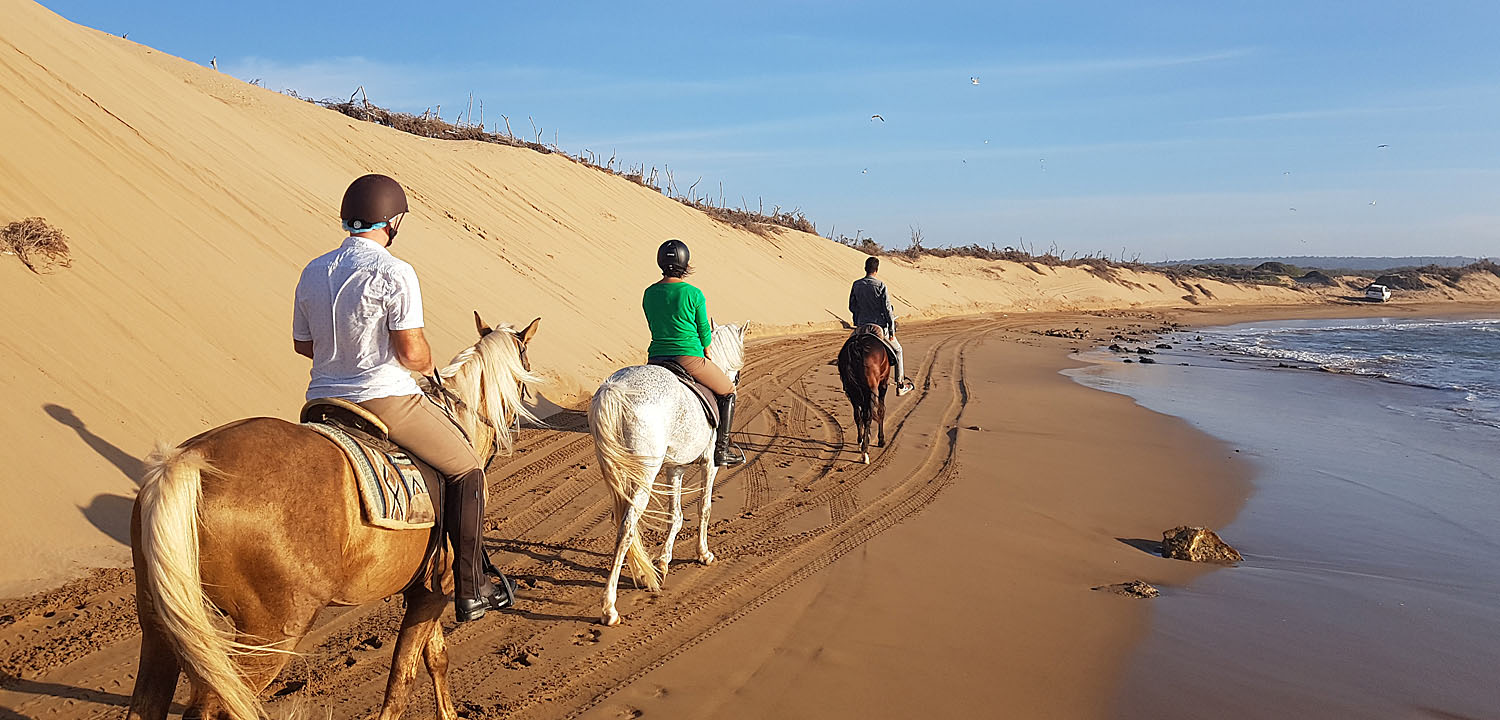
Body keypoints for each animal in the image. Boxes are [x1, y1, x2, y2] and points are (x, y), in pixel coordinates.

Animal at [126, 313, 541, 720]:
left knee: (147, 703)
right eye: (527, 366)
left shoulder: (422, 591)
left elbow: (435, 659)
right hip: (271, 632)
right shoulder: (436, 591)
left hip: (160, 628)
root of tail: (190, 460)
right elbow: (400, 683)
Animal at [587, 323, 747, 626]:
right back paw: (609, 607)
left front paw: (663, 560)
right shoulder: (709, 463)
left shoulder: (676, 467)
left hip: (621, 471)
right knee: (627, 527)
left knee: (623, 521)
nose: (735, 379)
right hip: (645, 473)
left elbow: (676, 514)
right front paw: (703, 554)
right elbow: (704, 508)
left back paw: (641, 572)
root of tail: (614, 389)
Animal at [838, 324, 893, 464]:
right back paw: (865, 453)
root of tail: (857, 345)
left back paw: (861, 444)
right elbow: (880, 410)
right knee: (868, 416)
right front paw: (881, 440)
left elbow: (861, 414)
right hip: (871, 388)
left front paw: (863, 439)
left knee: (858, 415)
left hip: (852, 390)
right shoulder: (882, 385)